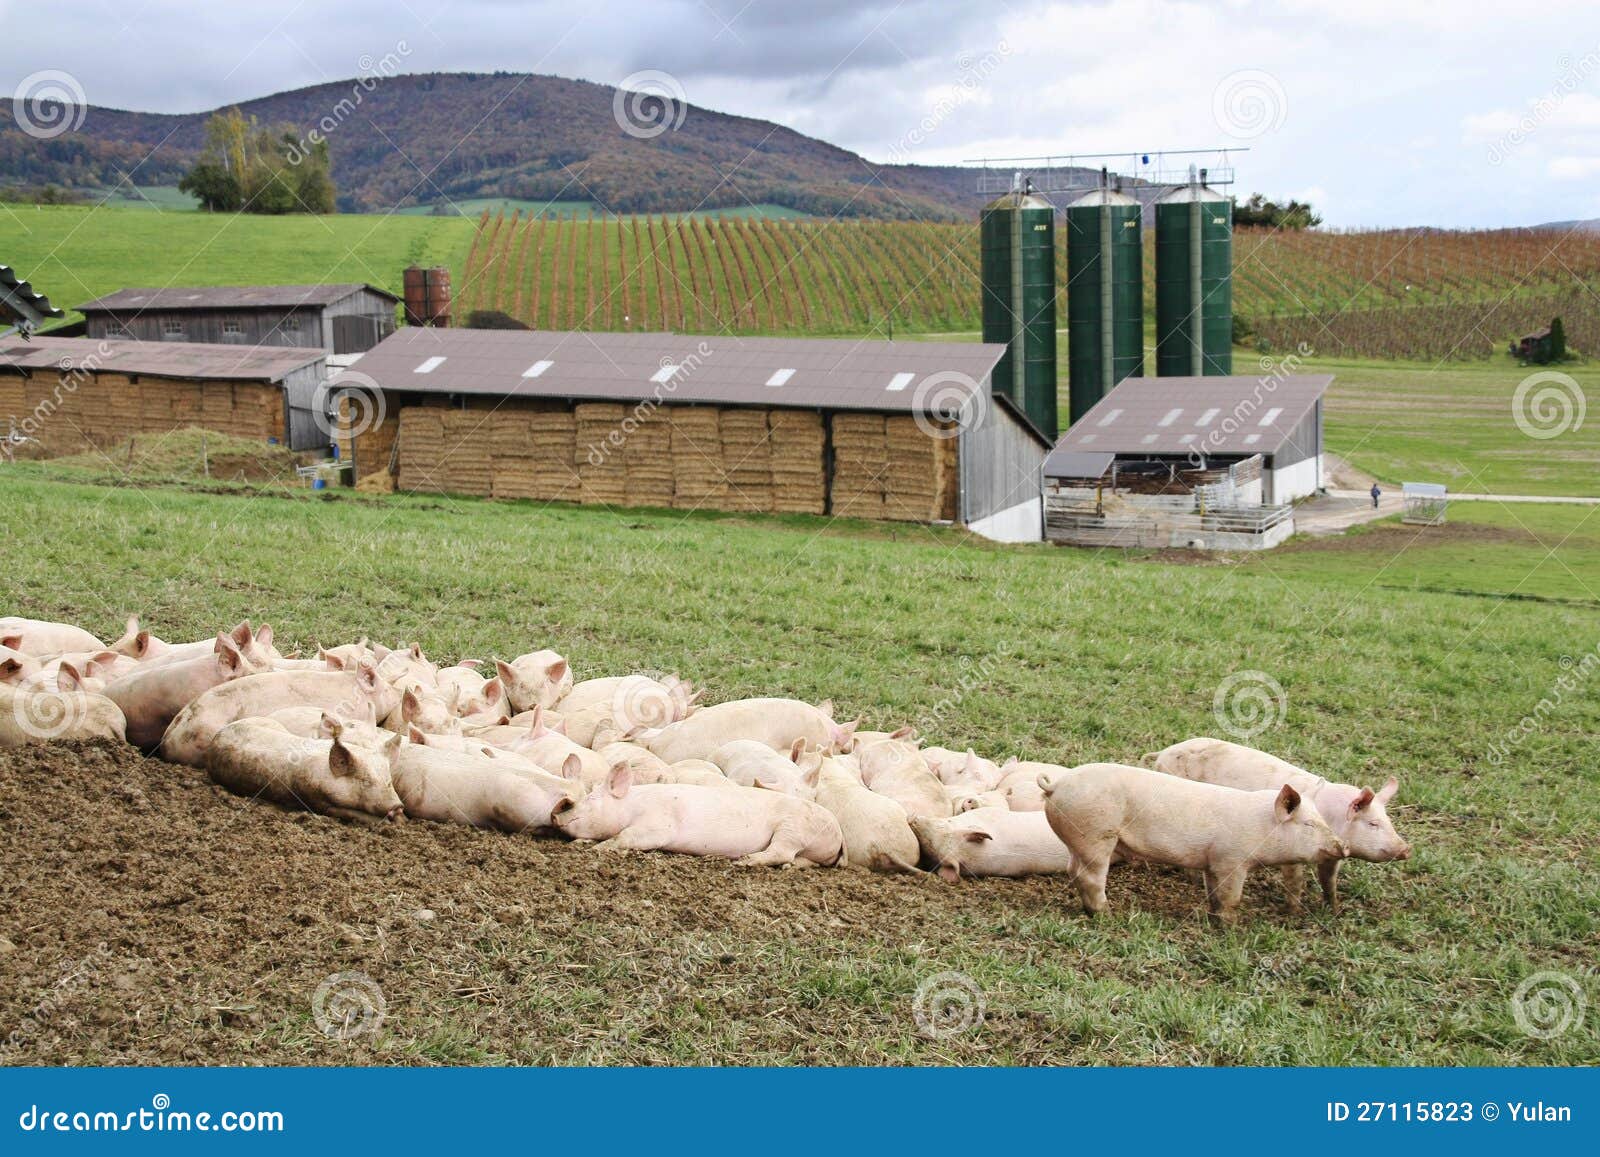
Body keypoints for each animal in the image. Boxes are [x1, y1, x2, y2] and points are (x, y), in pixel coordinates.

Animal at [551, 765, 844, 867]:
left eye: (591, 799)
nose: (555, 815)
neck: (632, 804)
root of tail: (838, 832)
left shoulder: (657, 825)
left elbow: (626, 836)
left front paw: (598, 849)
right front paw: (582, 844)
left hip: (794, 828)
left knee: (782, 852)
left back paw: (743, 862)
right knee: (799, 861)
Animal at [1040, 762, 1347, 924]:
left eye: (1322, 819)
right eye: (1308, 824)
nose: (1343, 845)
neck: (1262, 827)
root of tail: (1055, 786)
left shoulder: (1212, 863)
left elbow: (1214, 893)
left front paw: (1213, 916)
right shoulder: (1232, 860)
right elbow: (1232, 896)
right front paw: (1230, 925)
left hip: (1080, 840)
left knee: (1073, 871)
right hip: (1096, 834)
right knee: (1090, 877)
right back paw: (1108, 914)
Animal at [1150, 737, 1410, 910]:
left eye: (1389, 821)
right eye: (1373, 823)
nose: (1406, 849)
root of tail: (1163, 753)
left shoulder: (1331, 857)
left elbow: (1329, 882)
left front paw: (1334, 910)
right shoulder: (1292, 852)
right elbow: (1295, 882)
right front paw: (1293, 913)